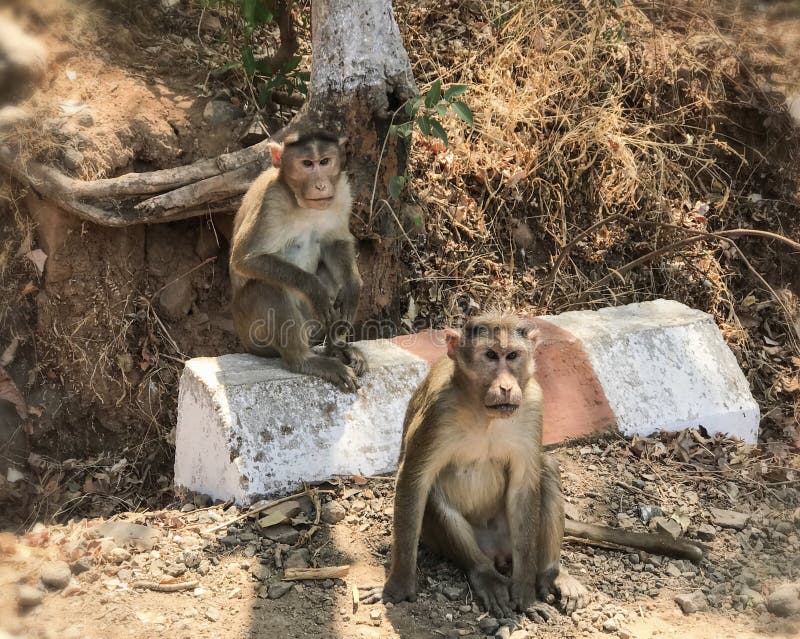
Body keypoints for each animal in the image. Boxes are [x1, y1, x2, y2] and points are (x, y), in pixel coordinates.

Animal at [229, 129, 367, 392]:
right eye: (307, 164)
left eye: (325, 161)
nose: (321, 185)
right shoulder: (270, 201)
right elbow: (245, 259)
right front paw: (315, 289)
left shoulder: (342, 193)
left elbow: (335, 242)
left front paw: (353, 288)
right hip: (252, 333)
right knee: (266, 286)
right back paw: (304, 360)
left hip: (311, 324)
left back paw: (336, 347)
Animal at [361, 313, 587, 617]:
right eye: (490, 355)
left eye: (512, 355)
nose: (506, 387)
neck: (483, 412)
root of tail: (497, 553)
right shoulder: (439, 410)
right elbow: (413, 479)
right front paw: (397, 587)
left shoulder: (532, 403)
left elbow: (524, 485)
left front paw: (524, 590)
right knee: (433, 494)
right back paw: (485, 574)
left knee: (547, 469)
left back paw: (551, 573)